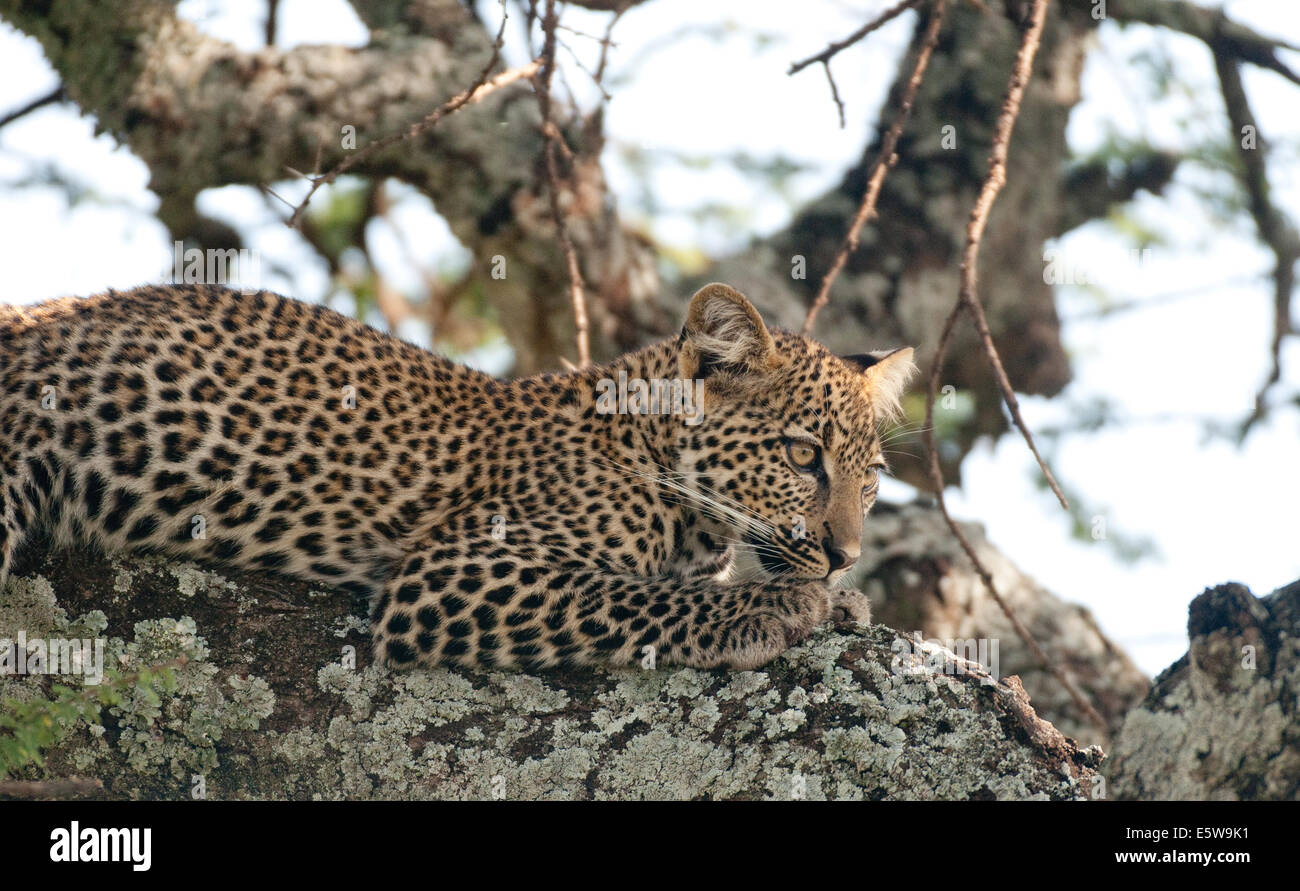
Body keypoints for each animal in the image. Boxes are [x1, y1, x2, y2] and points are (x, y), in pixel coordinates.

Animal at [0, 281, 915, 670]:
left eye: (870, 481)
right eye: (801, 455)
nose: (845, 555)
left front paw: (842, 599)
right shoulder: (456, 569)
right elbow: (633, 596)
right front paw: (779, 606)